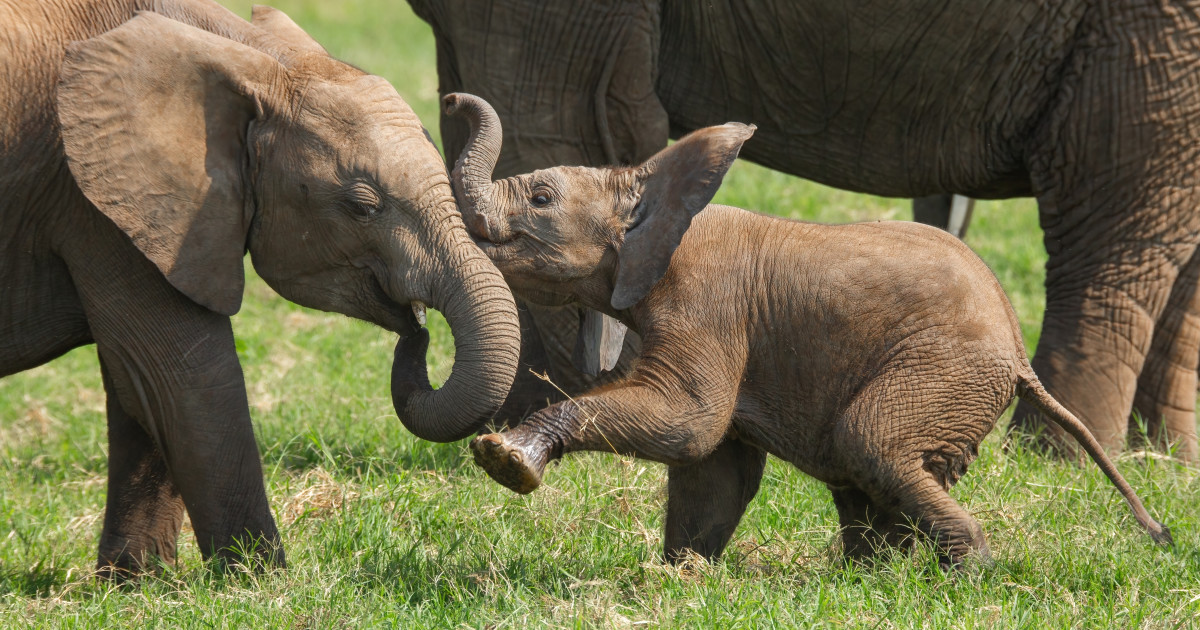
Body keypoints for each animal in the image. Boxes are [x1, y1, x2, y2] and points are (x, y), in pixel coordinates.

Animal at [0, 0, 521, 577]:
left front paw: (138, 584)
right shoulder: (96, 203)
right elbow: (181, 375)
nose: (418, 330)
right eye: (362, 207)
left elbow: (136, 386)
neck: (252, 59)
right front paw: (260, 577)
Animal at [407, 0, 1200, 463]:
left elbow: (550, 109)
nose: (447, 99)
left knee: (1110, 219)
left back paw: (1052, 460)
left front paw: (514, 429)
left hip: (1147, 39)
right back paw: (1161, 457)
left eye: (542, 197)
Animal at [442, 93, 1172, 567]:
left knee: (870, 442)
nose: (451, 98)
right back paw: (870, 576)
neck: (663, 194)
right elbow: (714, 465)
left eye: (541, 200)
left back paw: (968, 574)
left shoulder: (708, 304)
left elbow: (690, 423)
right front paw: (680, 574)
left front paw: (505, 460)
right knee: (866, 474)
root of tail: (1019, 356)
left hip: (942, 372)